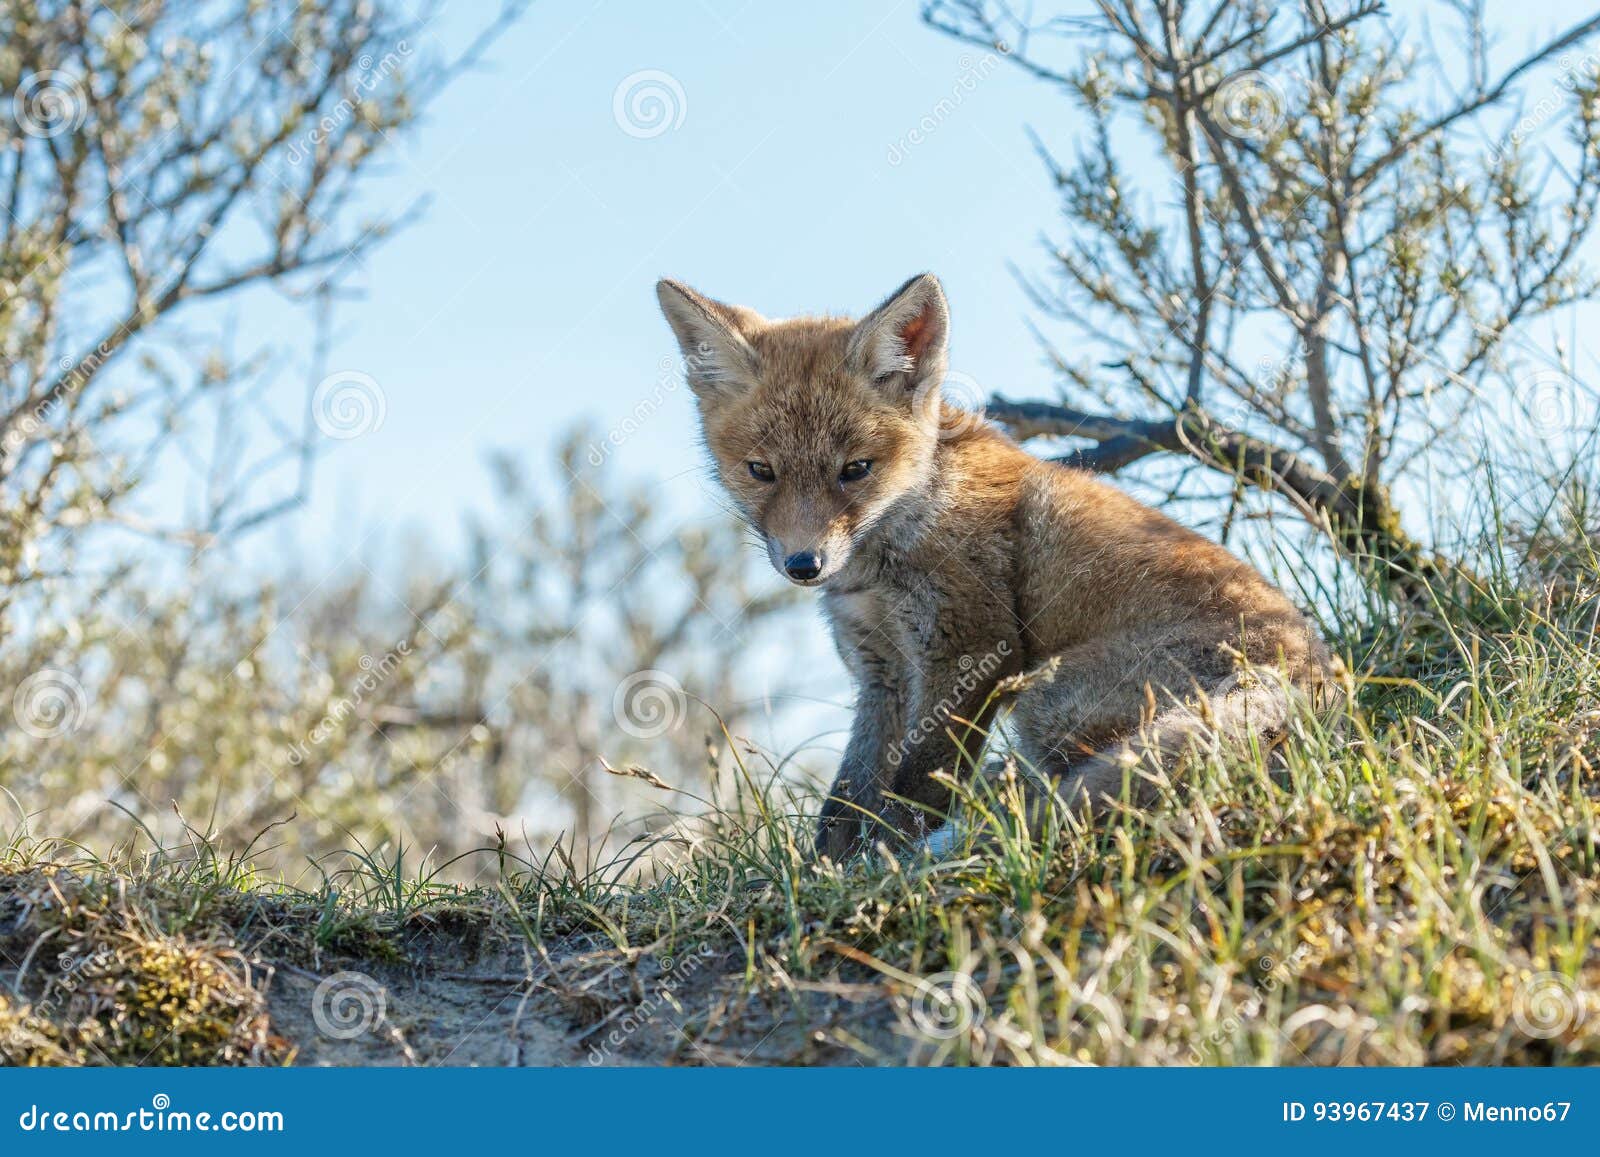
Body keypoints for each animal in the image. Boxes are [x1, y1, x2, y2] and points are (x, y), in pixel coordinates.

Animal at [656, 272, 1336, 861]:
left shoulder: (972, 649)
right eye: (761, 471)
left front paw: (882, 861)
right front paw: (822, 870)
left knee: (1070, 784)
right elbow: (846, 800)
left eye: (855, 470)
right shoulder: (883, 674)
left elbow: (914, 786)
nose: (804, 564)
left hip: (1045, 698)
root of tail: (1319, 682)